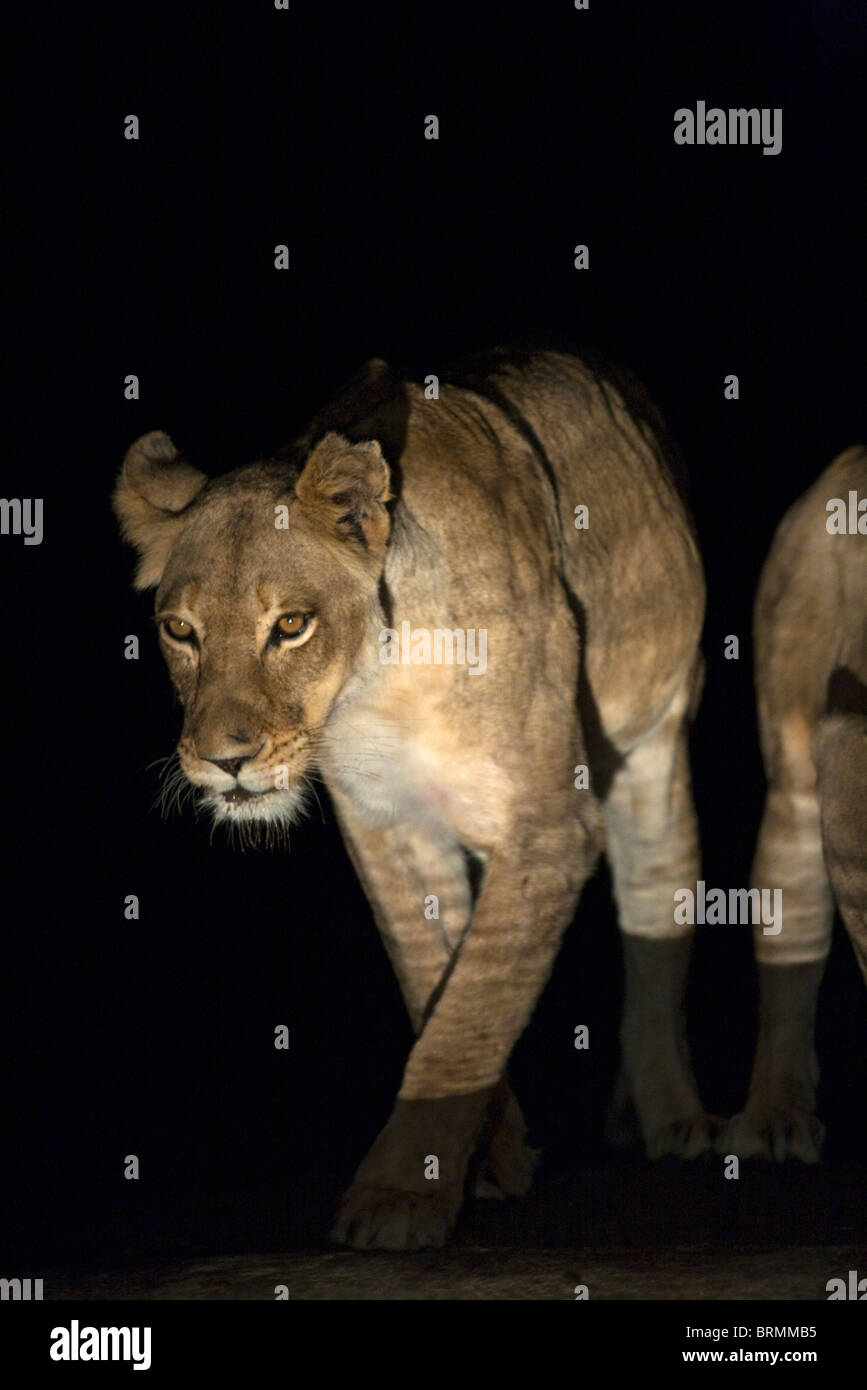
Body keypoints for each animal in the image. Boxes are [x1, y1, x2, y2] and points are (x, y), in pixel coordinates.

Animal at [114, 349, 710, 1249]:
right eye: (180, 631)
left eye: (290, 625)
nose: (225, 761)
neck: (375, 687)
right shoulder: (389, 828)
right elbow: (442, 984)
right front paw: (472, 1163)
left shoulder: (550, 824)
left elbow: (468, 1011)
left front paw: (394, 1195)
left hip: (653, 746)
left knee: (653, 929)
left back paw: (672, 1116)